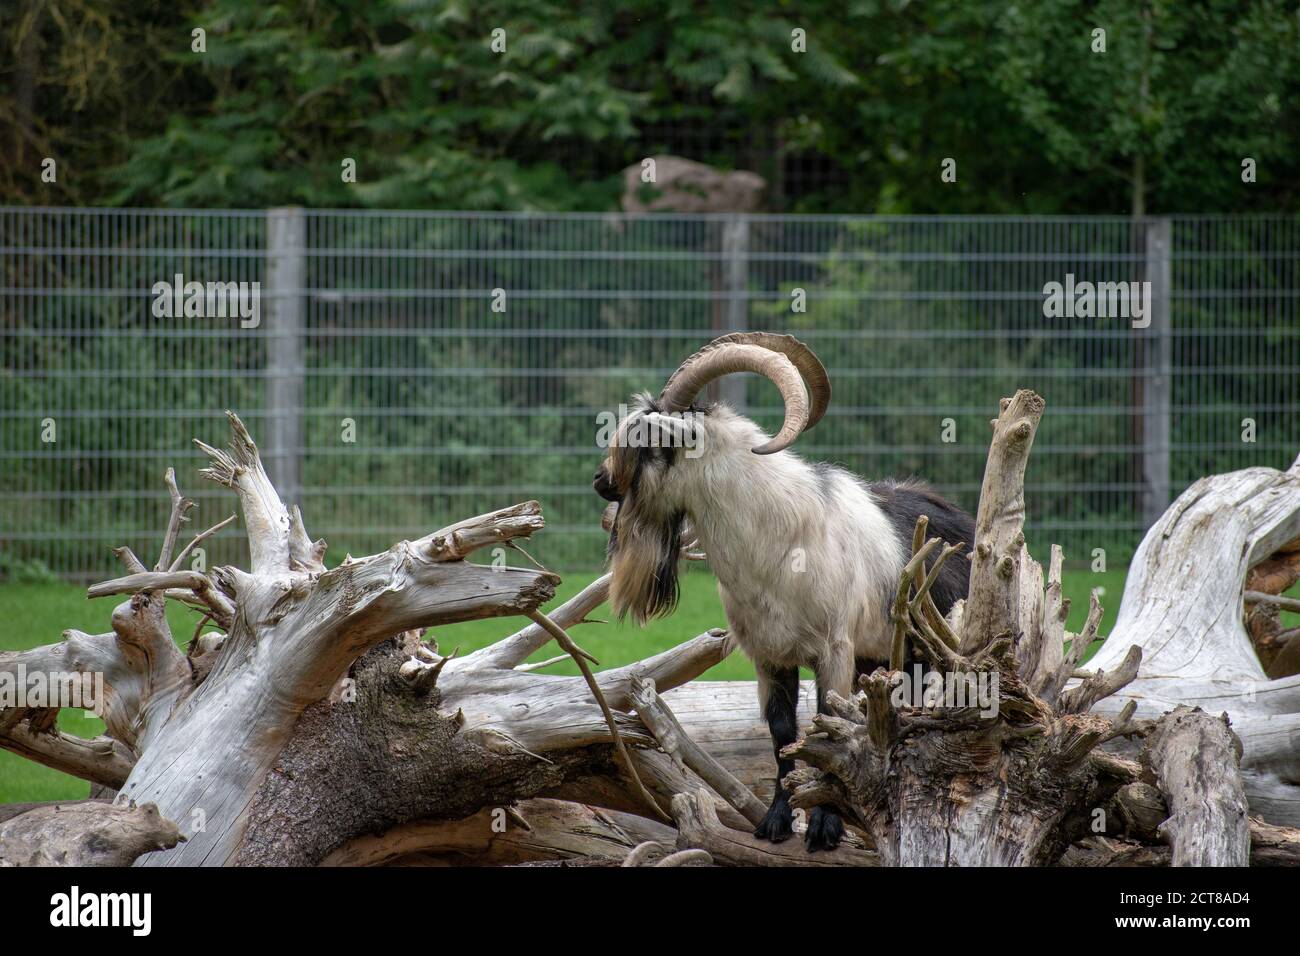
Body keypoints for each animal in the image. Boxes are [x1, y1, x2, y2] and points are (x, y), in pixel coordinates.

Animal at [594, 332, 975, 851]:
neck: (776, 545)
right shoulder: (769, 656)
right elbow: (782, 732)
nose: (601, 481)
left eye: (652, 444)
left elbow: (830, 726)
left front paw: (826, 827)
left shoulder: (836, 650)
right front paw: (776, 821)